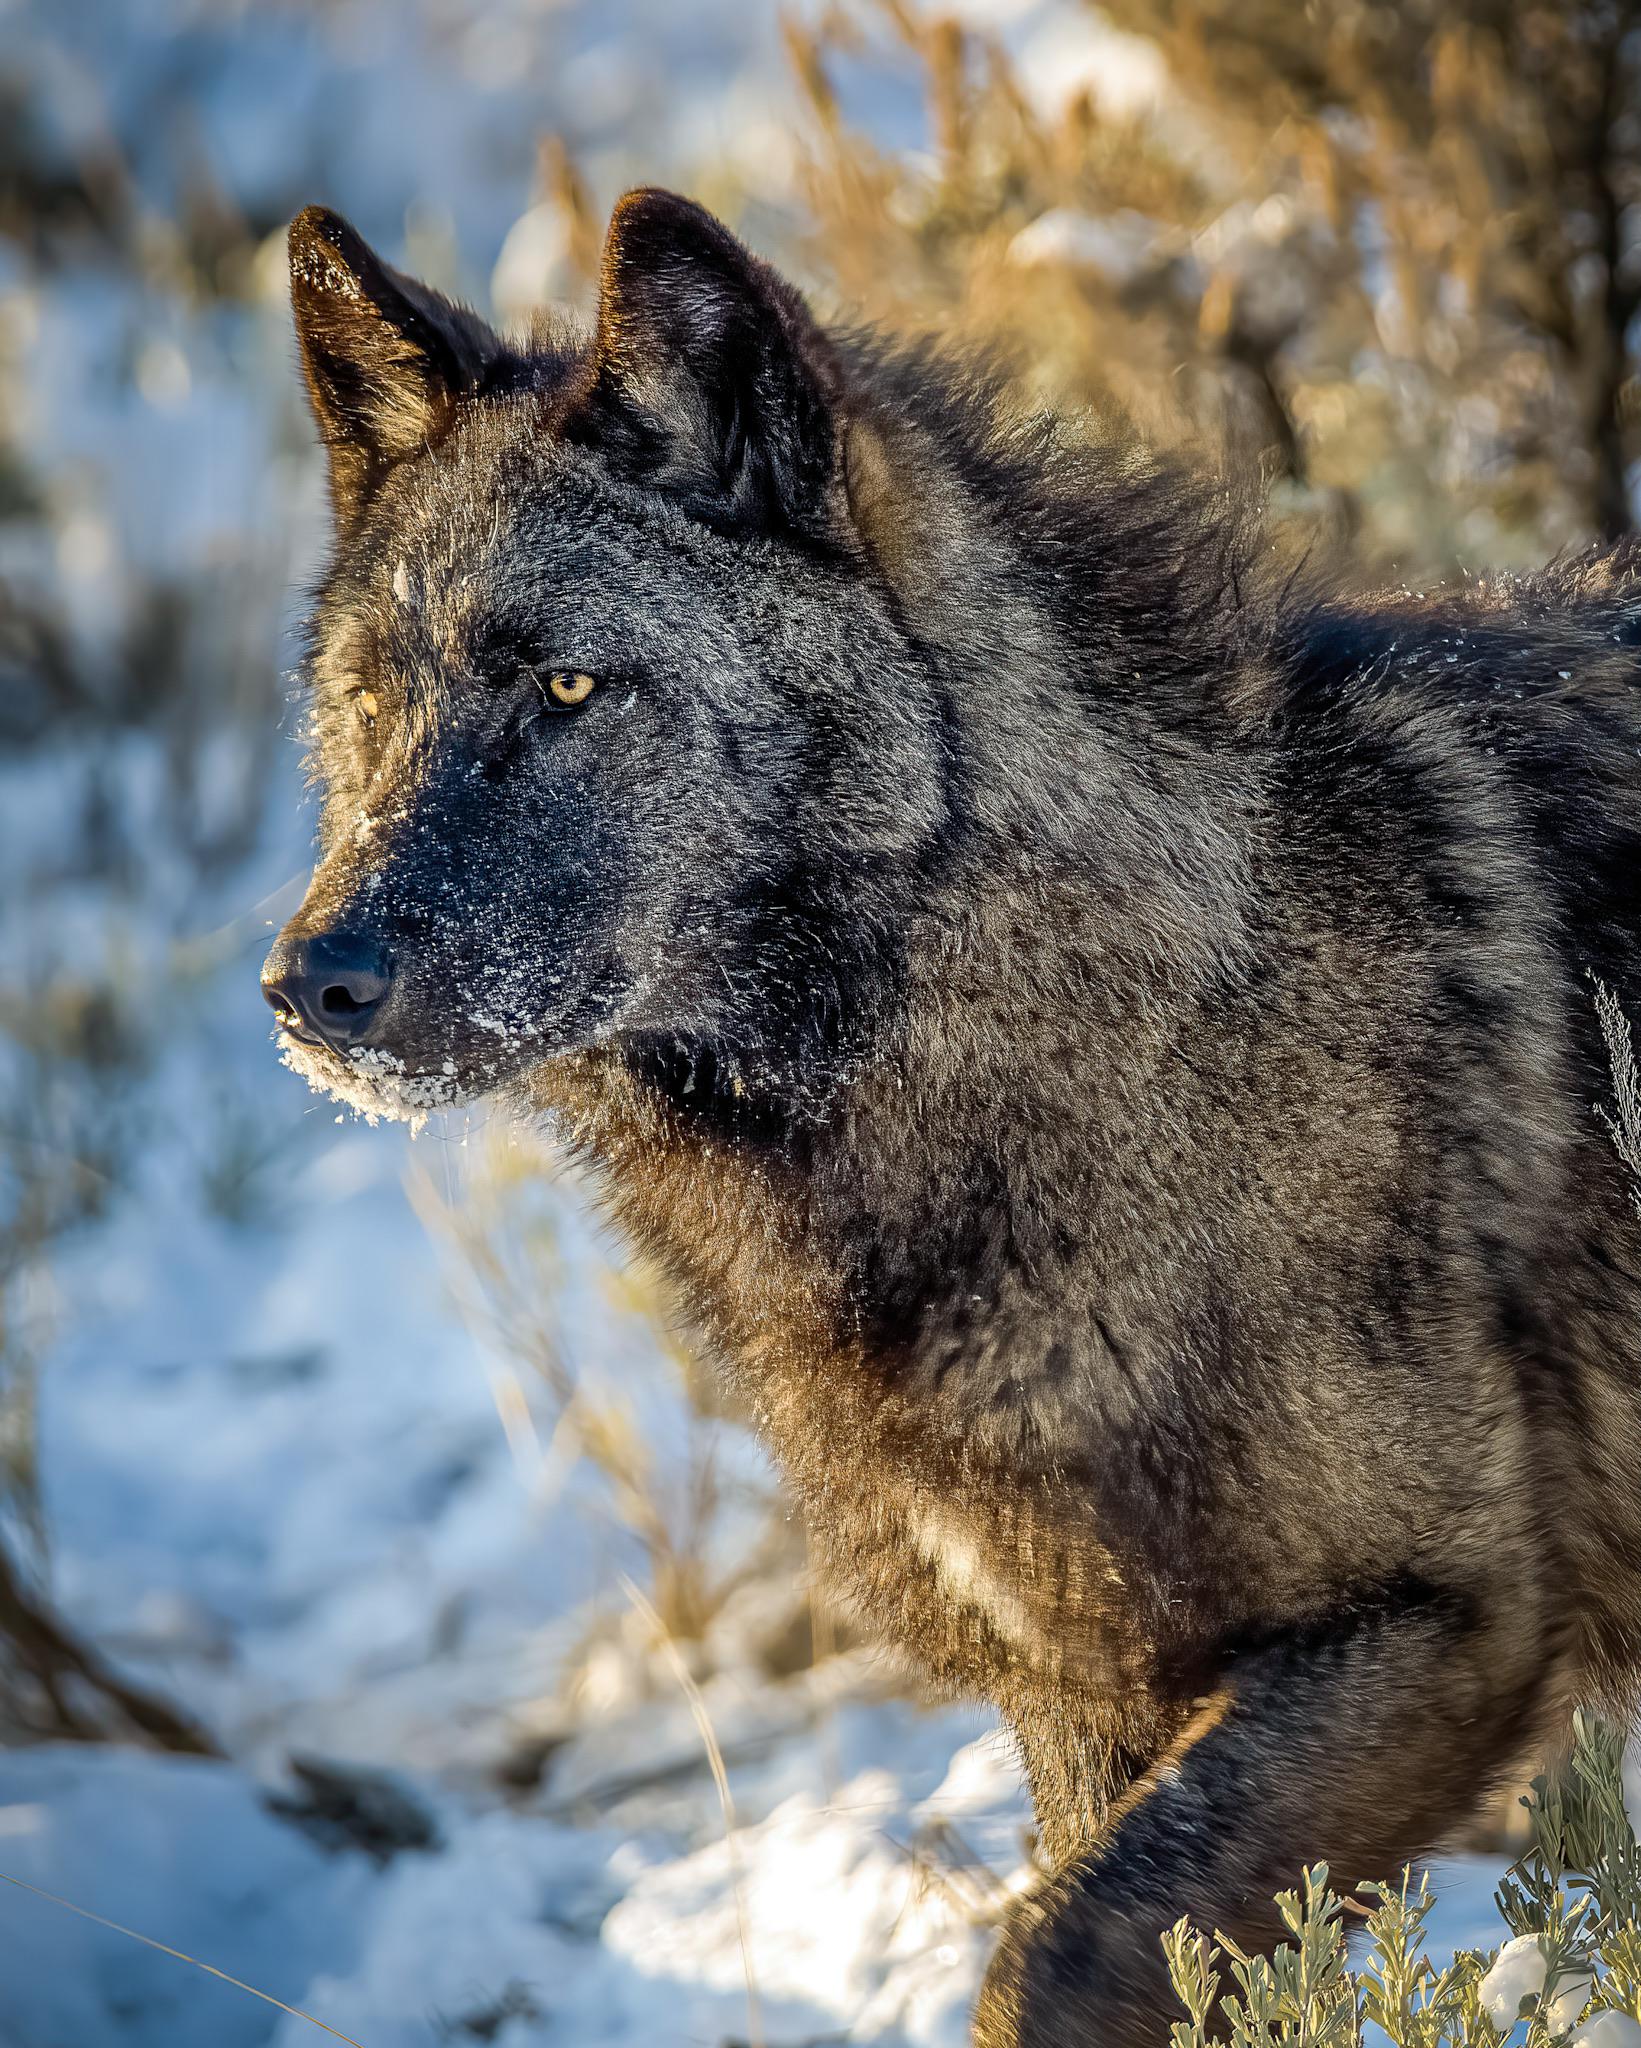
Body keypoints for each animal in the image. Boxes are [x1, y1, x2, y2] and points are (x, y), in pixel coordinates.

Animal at [264, 188, 1641, 2046]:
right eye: (371, 700)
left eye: (562, 690)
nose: (308, 982)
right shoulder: (1083, 1693)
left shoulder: (1435, 1620)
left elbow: (1049, 1951)